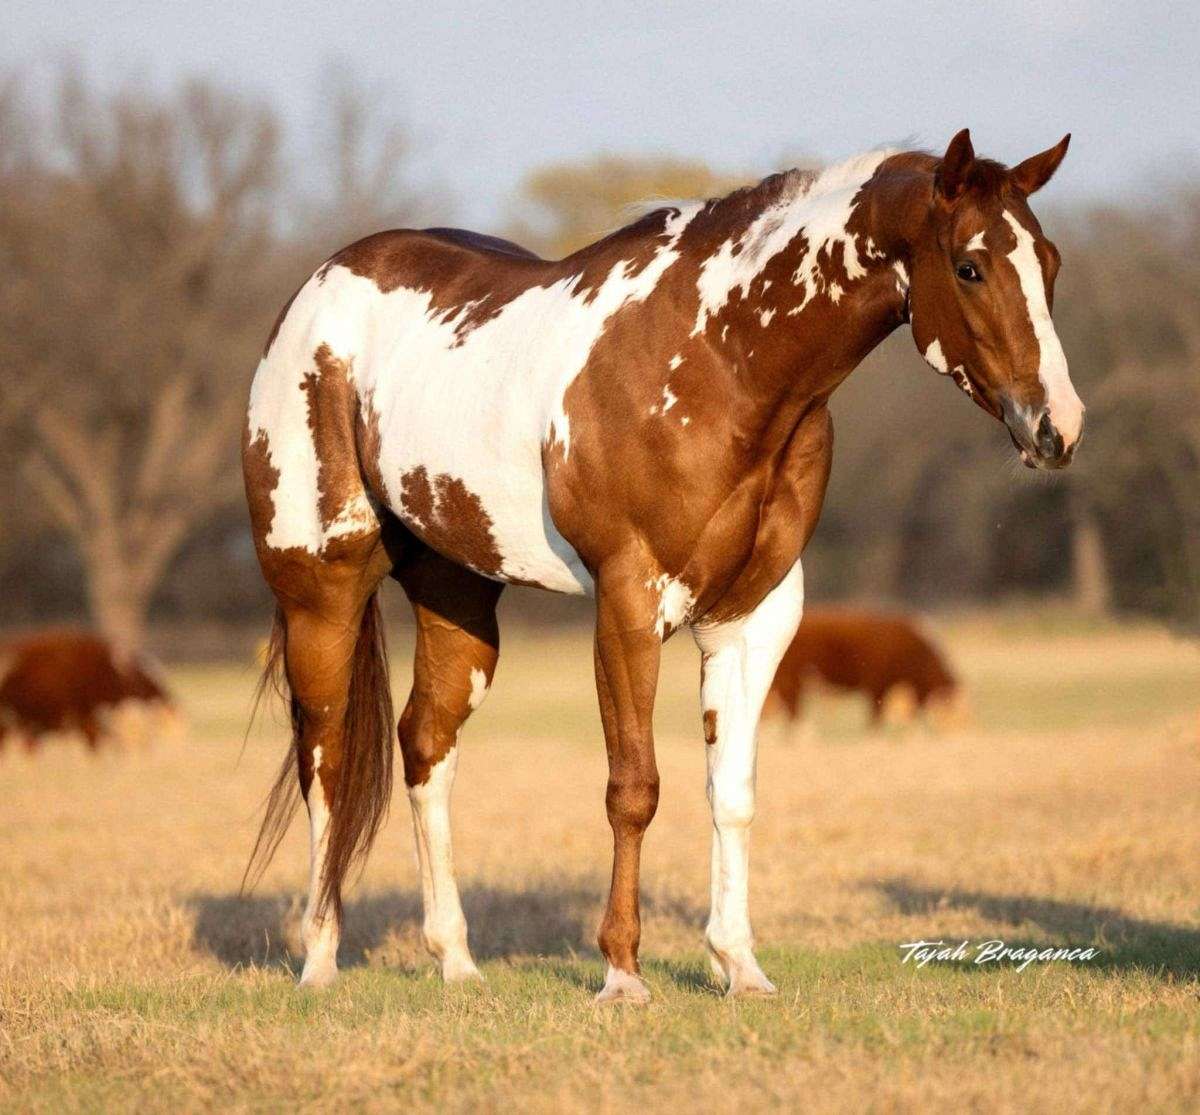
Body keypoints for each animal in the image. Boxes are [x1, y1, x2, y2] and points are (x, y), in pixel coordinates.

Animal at [764, 607, 963, 730]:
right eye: (946, 703)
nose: (955, 729)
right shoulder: (876, 684)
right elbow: (875, 715)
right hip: (791, 683)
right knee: (793, 713)